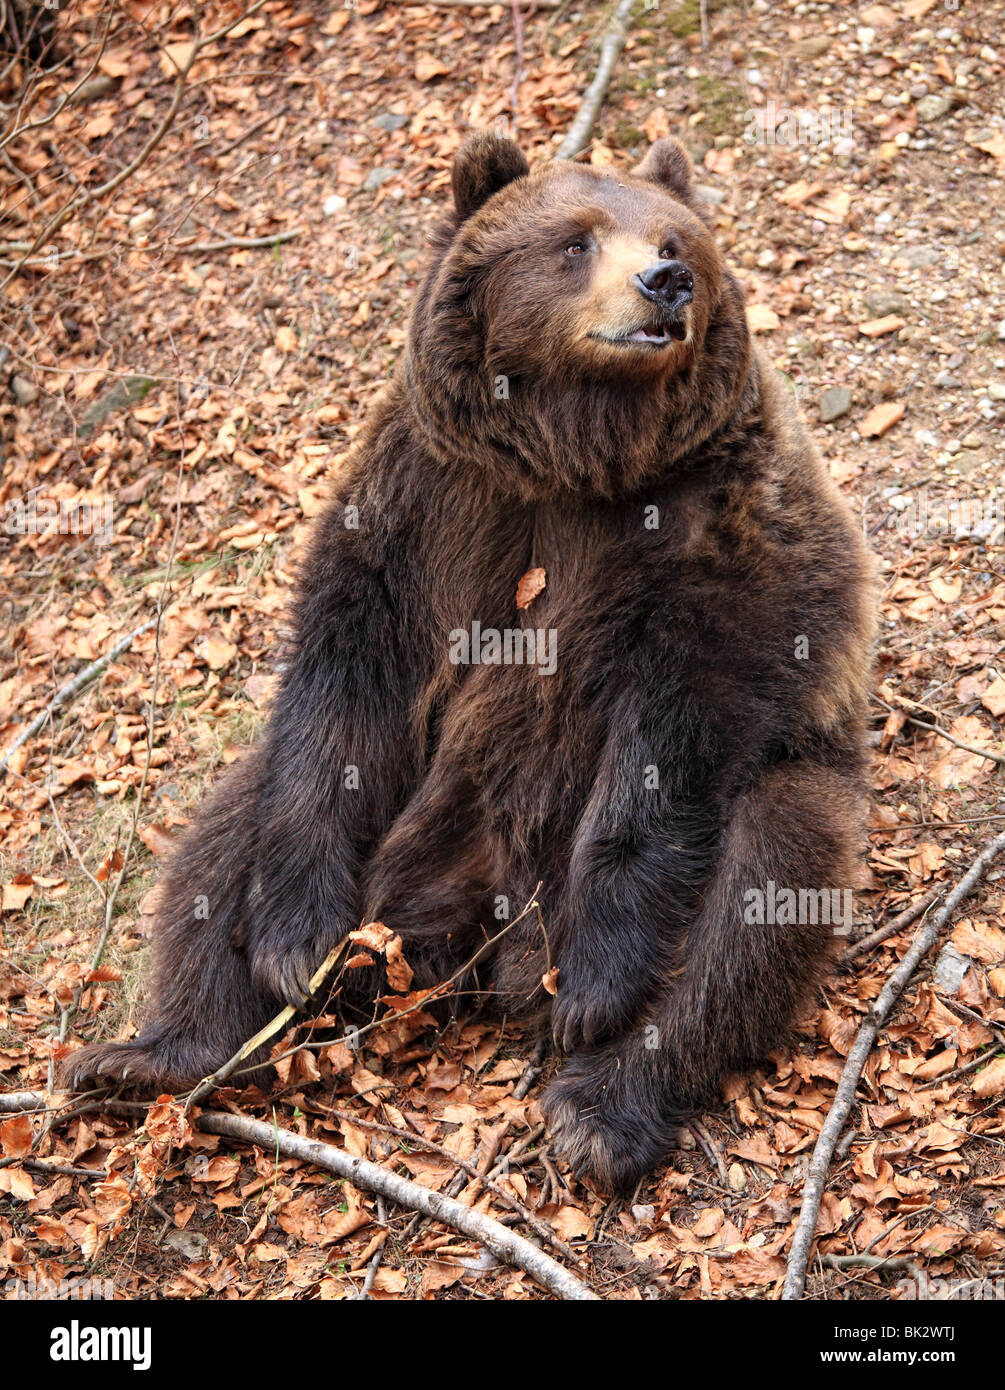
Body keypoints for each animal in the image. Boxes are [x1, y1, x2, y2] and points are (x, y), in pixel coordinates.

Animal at [61, 133, 875, 1192]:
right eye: (574, 242)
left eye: (671, 237)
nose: (667, 282)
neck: (580, 457)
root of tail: (479, 943)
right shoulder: (431, 496)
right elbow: (350, 662)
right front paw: (288, 947)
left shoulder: (720, 529)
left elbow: (679, 733)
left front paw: (600, 986)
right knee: (237, 819)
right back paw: (153, 1054)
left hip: (779, 781)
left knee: (765, 877)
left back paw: (601, 1107)